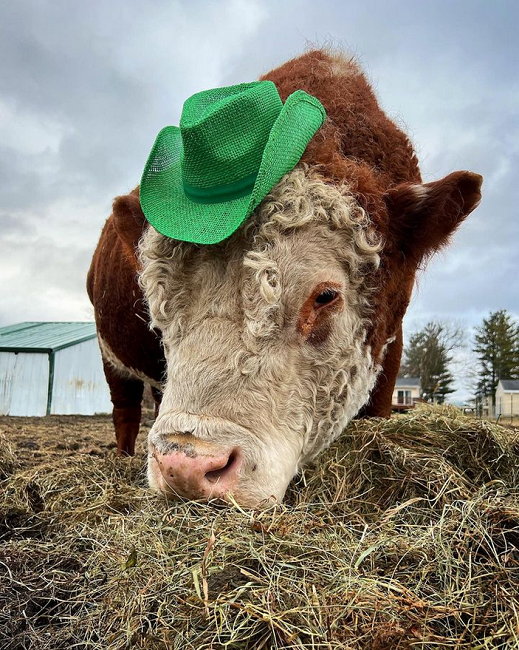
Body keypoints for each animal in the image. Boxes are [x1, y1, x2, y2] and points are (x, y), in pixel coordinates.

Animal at [87, 50, 482, 508]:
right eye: (158, 304)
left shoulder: (390, 349)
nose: (185, 465)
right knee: (125, 411)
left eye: (326, 295)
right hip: (111, 359)